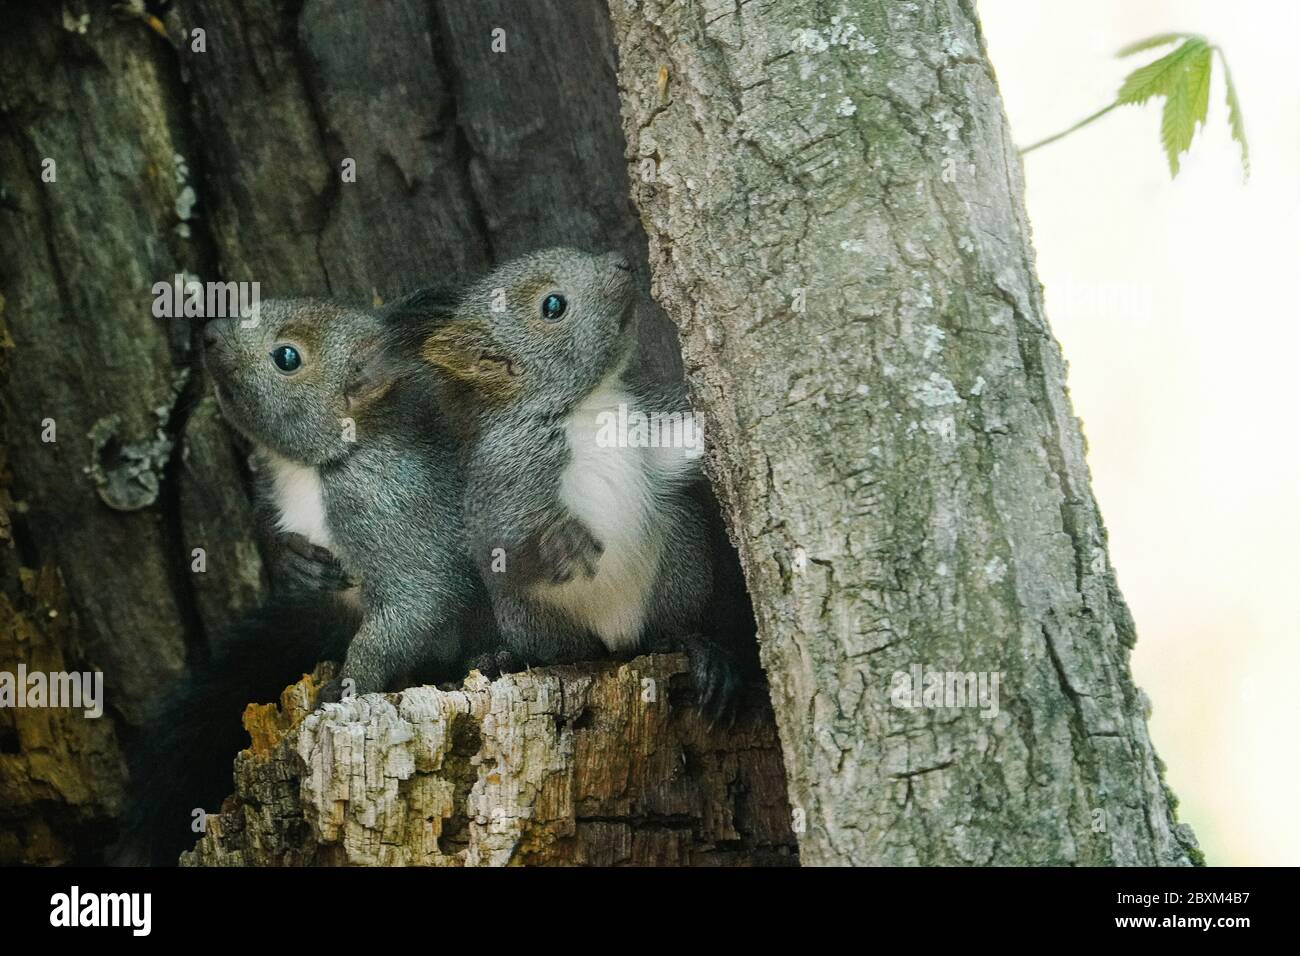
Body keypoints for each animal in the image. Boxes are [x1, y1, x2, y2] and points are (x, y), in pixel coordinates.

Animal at [385, 247, 752, 722]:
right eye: (553, 306)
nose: (621, 263)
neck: (589, 405)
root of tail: (615, 640)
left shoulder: (648, 420)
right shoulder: (500, 465)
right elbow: (494, 533)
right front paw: (560, 540)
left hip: (679, 558)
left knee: (671, 624)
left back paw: (698, 649)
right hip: (529, 614)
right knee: (554, 650)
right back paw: (506, 657)